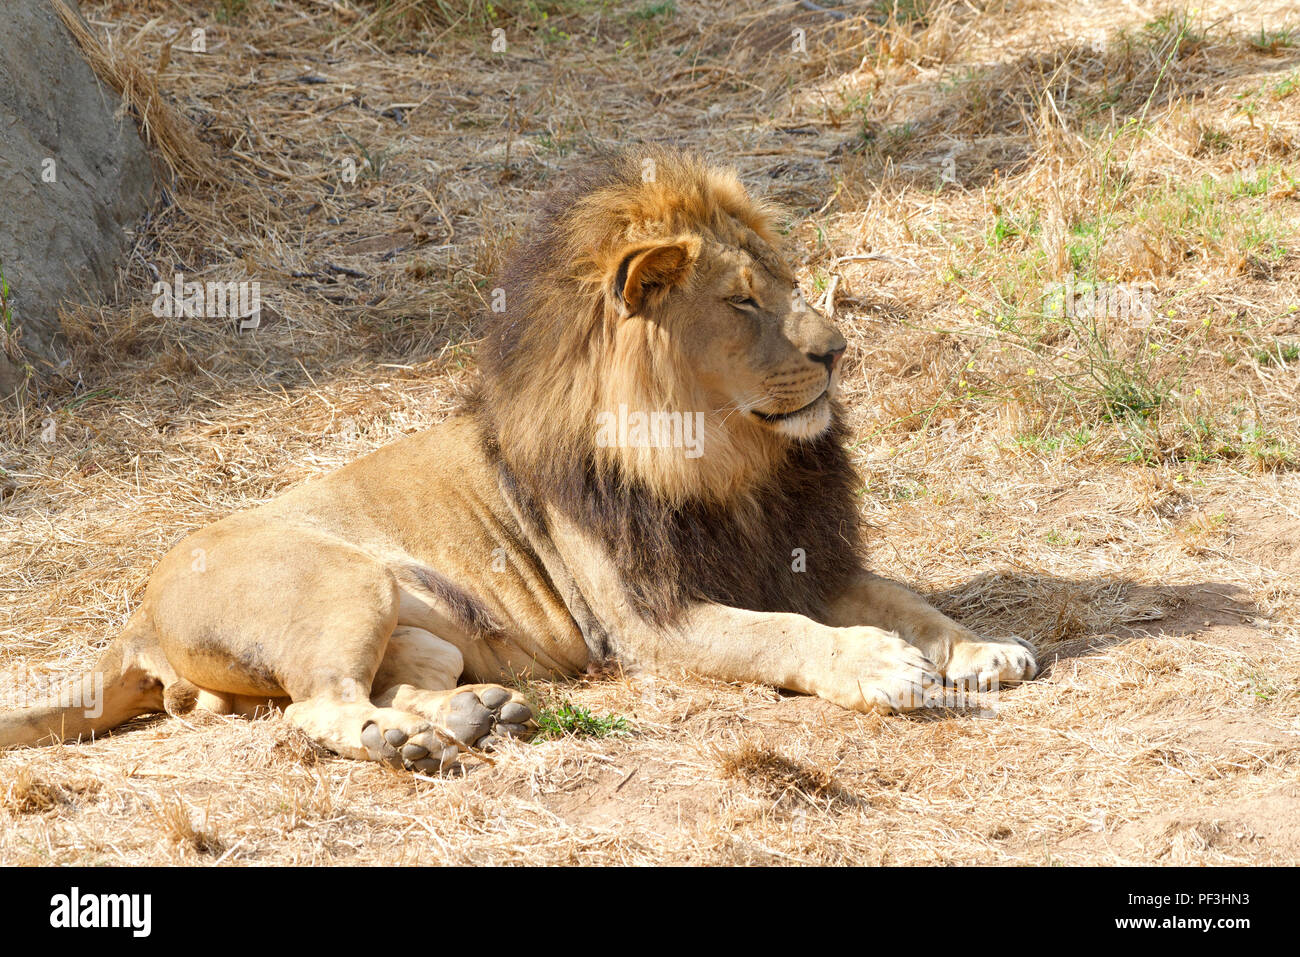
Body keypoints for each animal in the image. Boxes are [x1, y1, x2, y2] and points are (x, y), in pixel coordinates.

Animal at [0, 148, 1035, 770]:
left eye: (786, 283)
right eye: (743, 301)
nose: (836, 351)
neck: (731, 466)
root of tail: (136, 610)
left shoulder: (801, 560)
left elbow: (907, 597)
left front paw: (983, 648)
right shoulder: (650, 621)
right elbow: (781, 636)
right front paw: (880, 666)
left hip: (423, 629)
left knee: (390, 681)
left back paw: (467, 719)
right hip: (342, 585)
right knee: (318, 705)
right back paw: (400, 739)